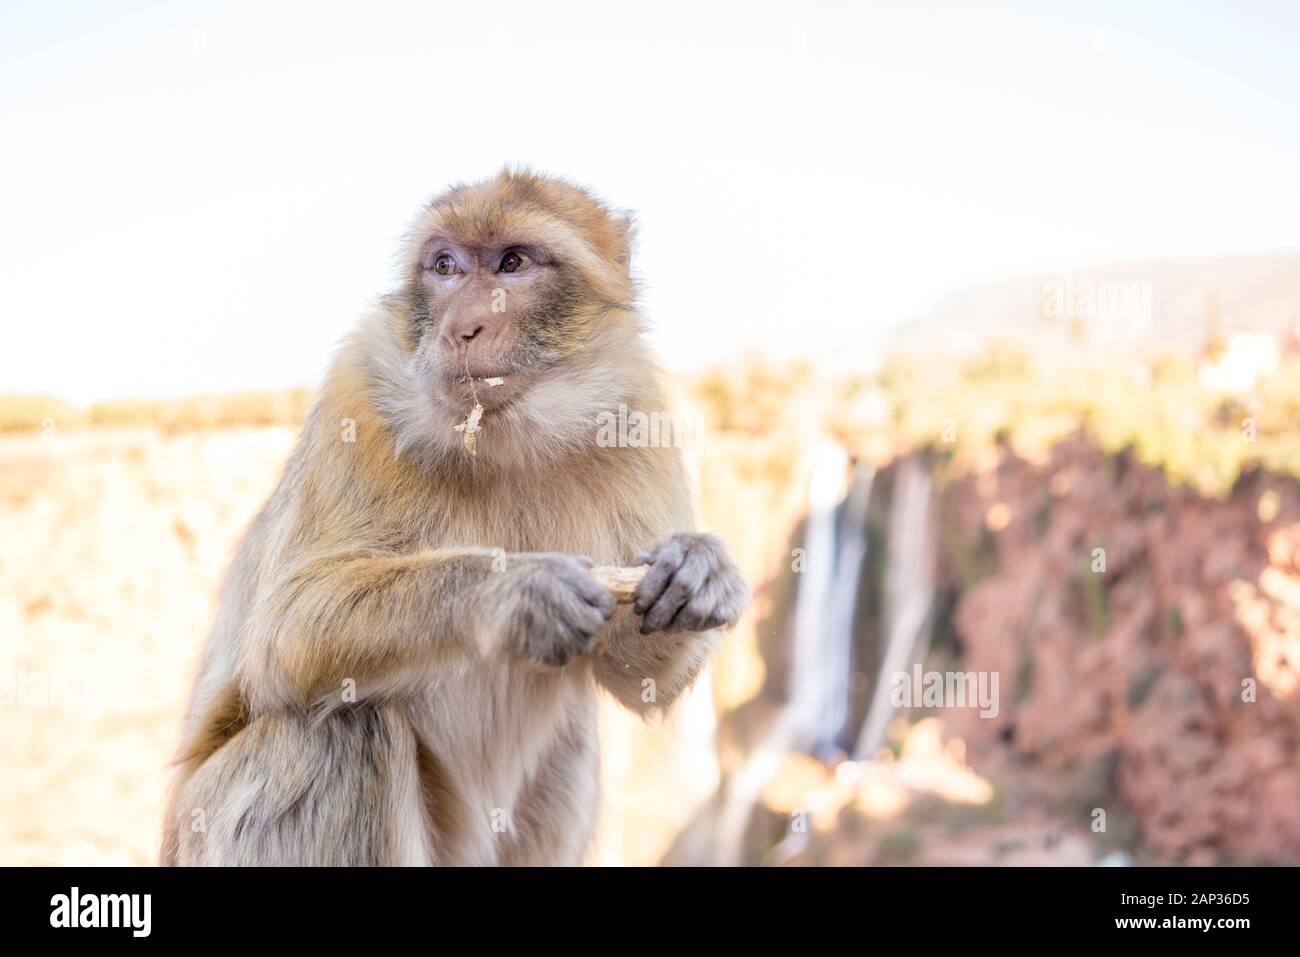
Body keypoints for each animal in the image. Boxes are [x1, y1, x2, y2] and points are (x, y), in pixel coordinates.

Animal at [161, 169, 749, 866]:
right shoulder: (357, 386)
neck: (509, 434)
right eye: (445, 266)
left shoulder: (638, 406)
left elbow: (640, 671)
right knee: (342, 727)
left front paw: (697, 571)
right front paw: (517, 591)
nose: (461, 327)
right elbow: (287, 628)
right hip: (210, 832)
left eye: (511, 263)